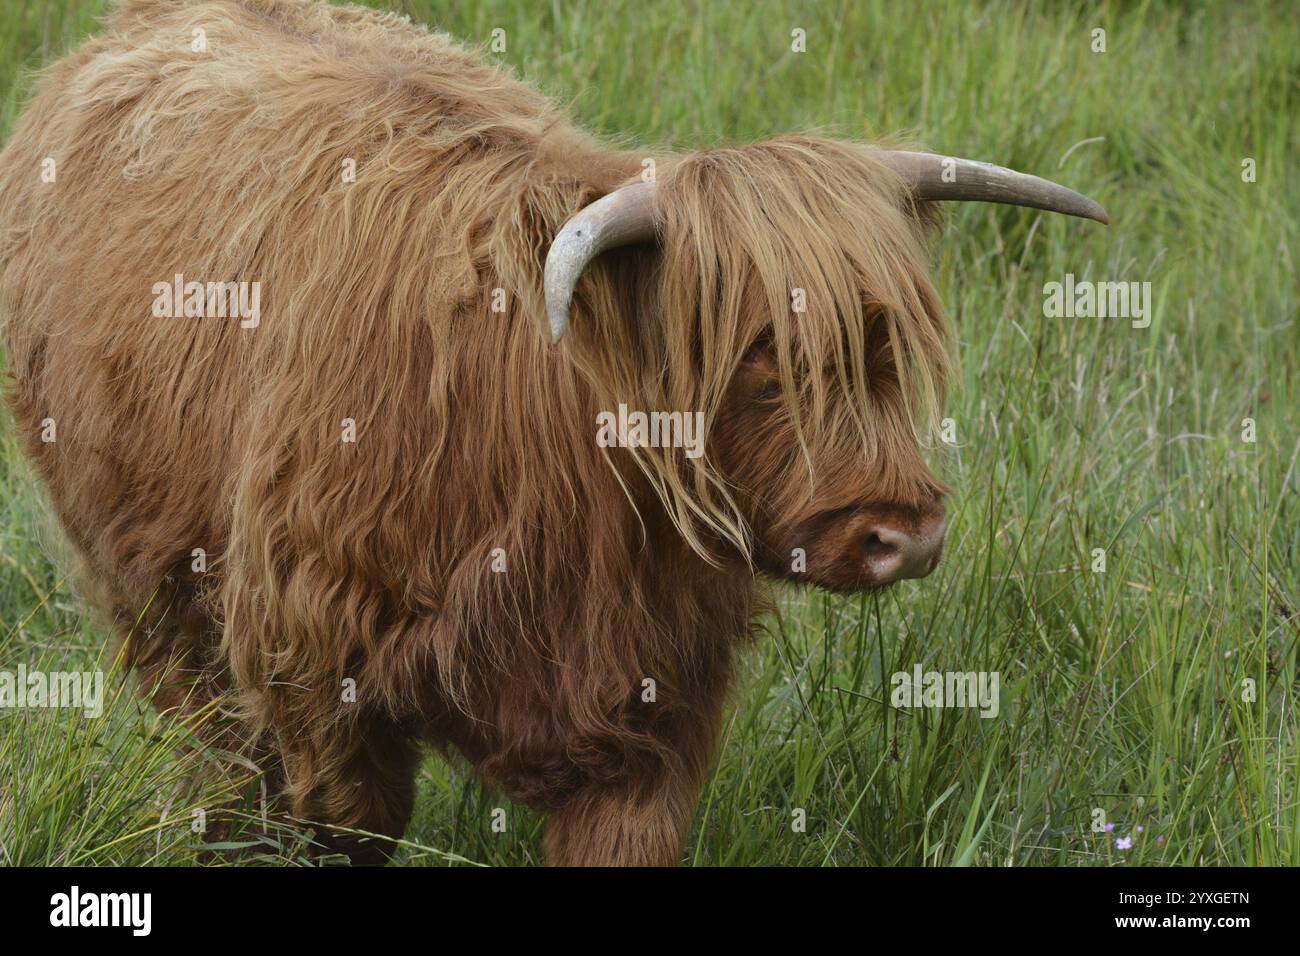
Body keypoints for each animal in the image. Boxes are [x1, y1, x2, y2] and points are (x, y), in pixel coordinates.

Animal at [0, 0, 1106, 865]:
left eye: (887, 346)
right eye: (757, 358)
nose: (902, 535)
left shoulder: (653, 701)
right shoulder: (316, 664)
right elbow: (343, 823)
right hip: (147, 588)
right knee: (213, 740)